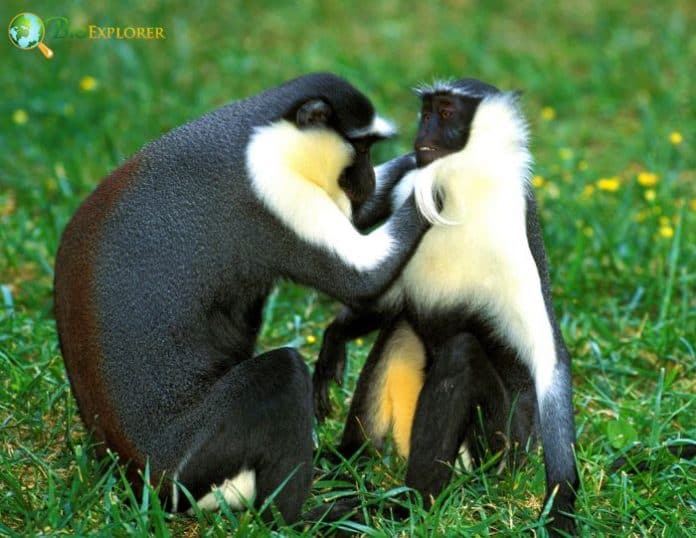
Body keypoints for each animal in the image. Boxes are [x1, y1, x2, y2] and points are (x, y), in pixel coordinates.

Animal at [53, 73, 433, 523]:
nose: (366, 182)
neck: (264, 131)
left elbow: (359, 220)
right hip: (197, 456)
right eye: (359, 147)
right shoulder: (274, 190)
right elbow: (362, 277)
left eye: (371, 149)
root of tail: (143, 477)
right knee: (283, 371)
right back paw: (297, 517)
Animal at [313, 79, 579, 535]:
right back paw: (349, 458)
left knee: (461, 352)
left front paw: (561, 509)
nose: (422, 134)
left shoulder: (511, 235)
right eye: (425, 112)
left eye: (447, 113)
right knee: (402, 329)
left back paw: (411, 504)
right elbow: (392, 298)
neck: (460, 187)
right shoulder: (409, 185)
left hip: (498, 448)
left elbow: (550, 363)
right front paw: (335, 336)